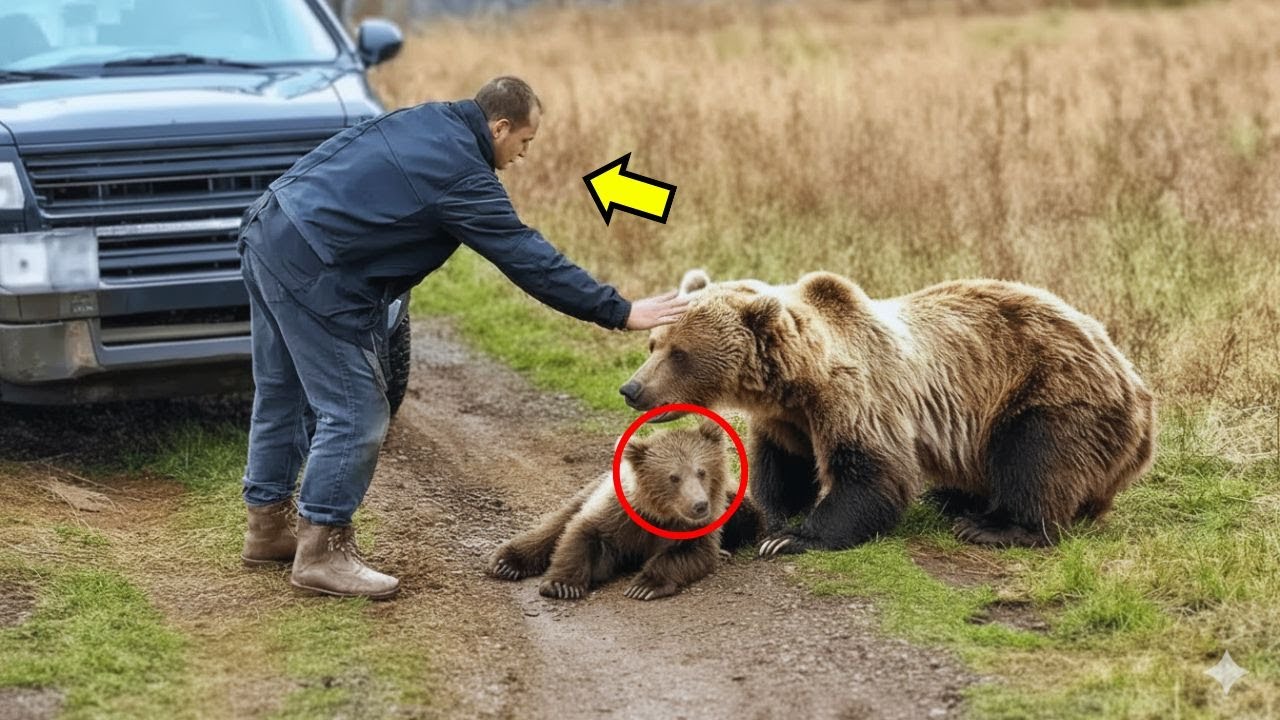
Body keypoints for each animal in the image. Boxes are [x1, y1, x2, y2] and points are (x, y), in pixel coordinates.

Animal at [488, 421, 762, 600]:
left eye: (701, 471)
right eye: (673, 477)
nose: (699, 505)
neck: (661, 514)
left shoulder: (697, 527)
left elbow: (691, 554)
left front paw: (644, 586)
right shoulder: (619, 514)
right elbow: (581, 532)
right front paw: (562, 585)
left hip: (739, 504)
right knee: (555, 525)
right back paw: (506, 563)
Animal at [618, 269, 1156, 554]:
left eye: (680, 353)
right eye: (653, 344)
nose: (632, 389)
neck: (797, 381)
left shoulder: (858, 396)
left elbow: (872, 472)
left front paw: (793, 538)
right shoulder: (788, 419)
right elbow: (783, 468)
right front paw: (763, 518)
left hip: (1051, 391)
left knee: (1037, 458)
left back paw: (992, 525)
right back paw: (952, 500)